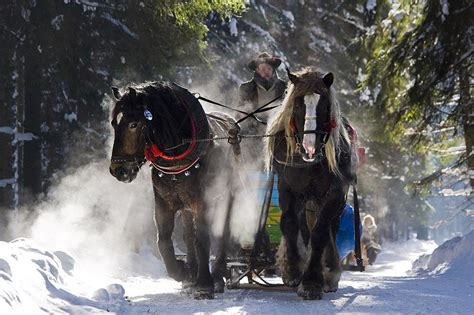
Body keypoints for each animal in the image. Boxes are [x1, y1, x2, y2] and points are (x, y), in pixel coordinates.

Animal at [109, 81, 239, 298]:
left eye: (133, 124)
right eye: (113, 123)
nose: (118, 170)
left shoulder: (202, 202)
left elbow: (202, 239)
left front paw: (205, 284)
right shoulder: (164, 203)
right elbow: (163, 241)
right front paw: (182, 272)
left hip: (226, 195)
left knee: (222, 232)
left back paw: (218, 274)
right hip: (186, 207)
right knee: (188, 234)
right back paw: (192, 275)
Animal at [264, 68, 358, 300]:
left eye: (324, 105)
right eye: (298, 104)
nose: (310, 148)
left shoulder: (334, 194)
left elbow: (320, 233)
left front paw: (312, 282)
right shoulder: (287, 188)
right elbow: (289, 224)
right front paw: (292, 270)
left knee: (329, 228)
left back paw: (330, 272)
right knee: (304, 227)